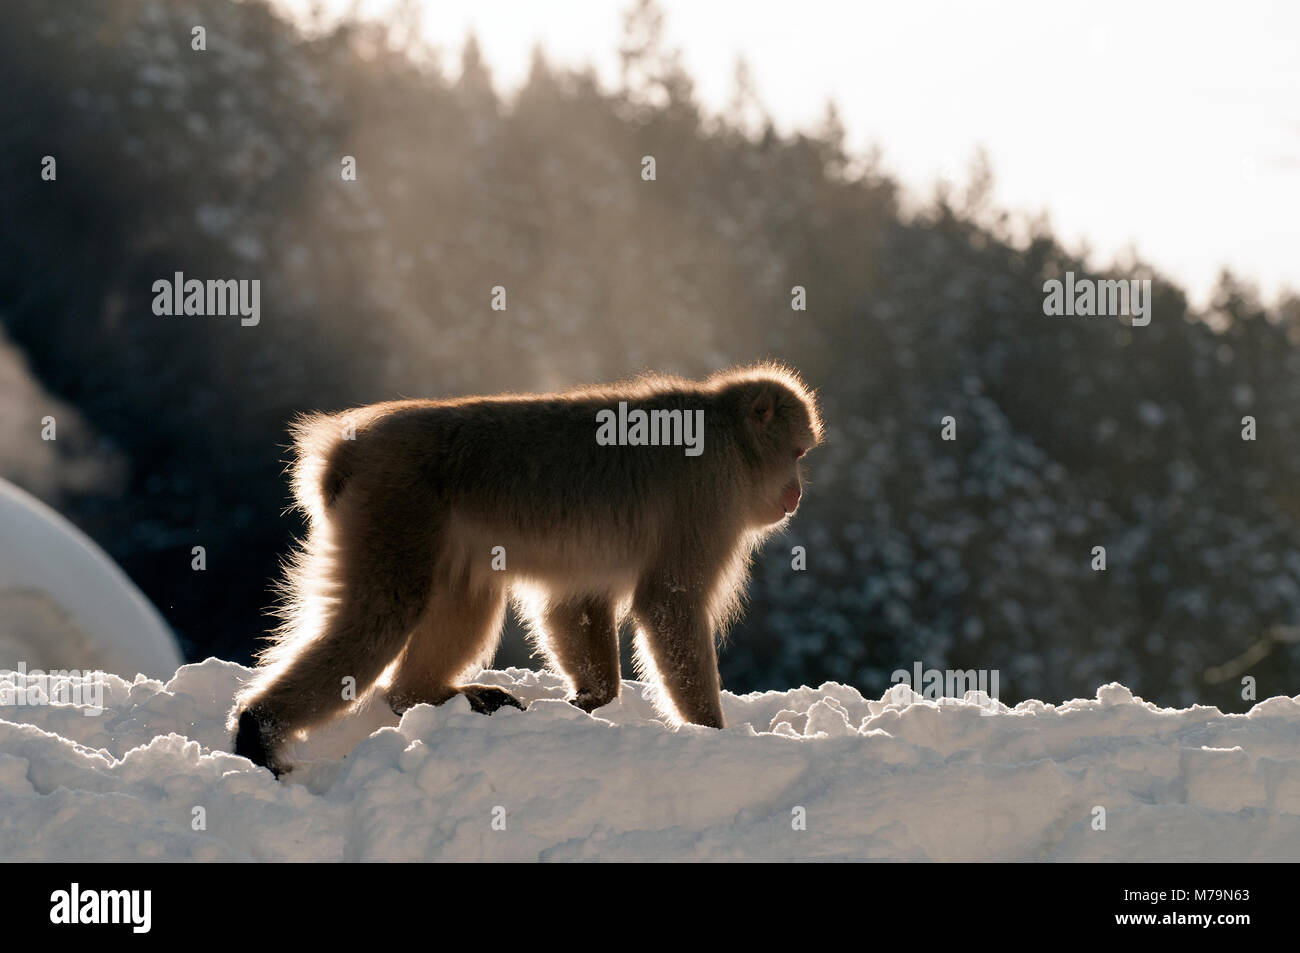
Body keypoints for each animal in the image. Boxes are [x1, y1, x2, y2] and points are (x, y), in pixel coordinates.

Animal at [231, 363, 822, 775]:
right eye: (796, 453)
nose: (796, 494)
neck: (732, 440)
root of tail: (345, 447)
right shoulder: (709, 495)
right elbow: (668, 602)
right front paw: (712, 734)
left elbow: (575, 601)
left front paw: (591, 699)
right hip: (394, 505)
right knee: (382, 613)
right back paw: (258, 729)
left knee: (466, 593)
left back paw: (420, 696)